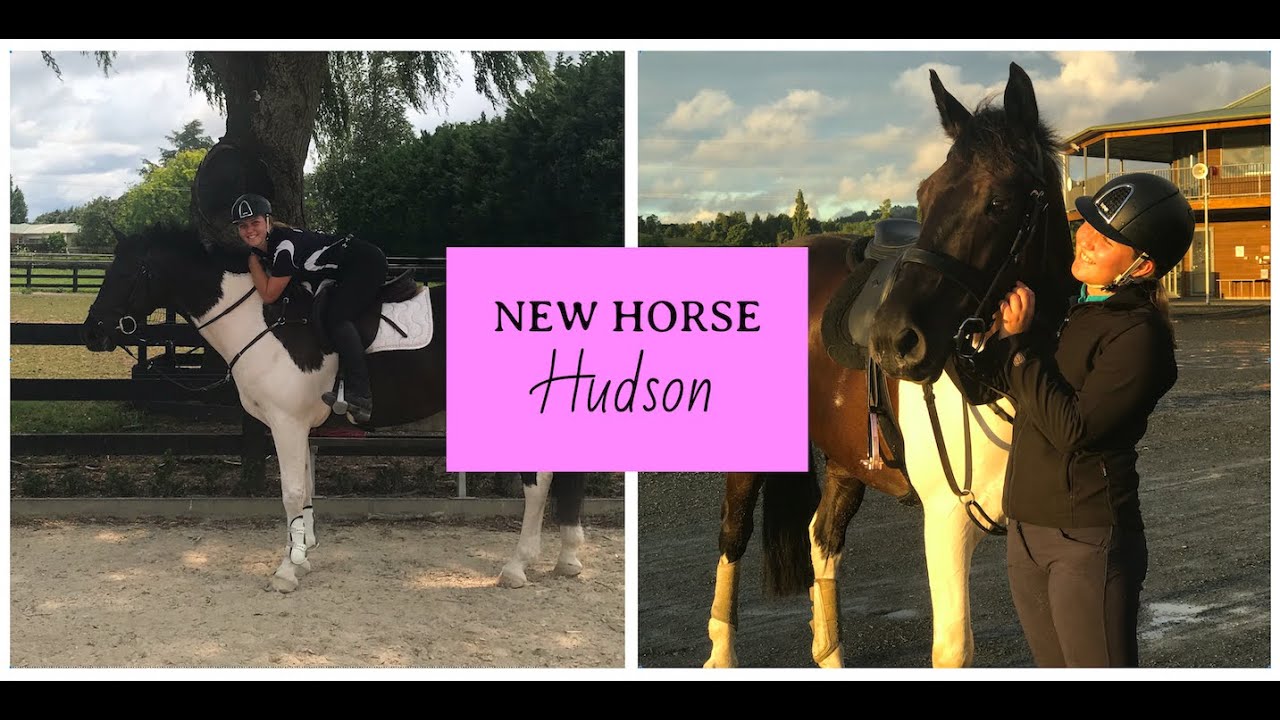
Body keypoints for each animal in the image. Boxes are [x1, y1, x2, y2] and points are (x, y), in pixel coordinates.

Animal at [81, 224, 591, 593]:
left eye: (127, 273)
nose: (93, 331)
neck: (262, 321)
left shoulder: (286, 425)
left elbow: (290, 494)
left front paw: (286, 572)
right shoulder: (299, 429)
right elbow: (305, 493)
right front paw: (301, 558)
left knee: (537, 482)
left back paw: (517, 566)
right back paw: (567, 558)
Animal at [704, 62, 1077, 668]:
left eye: (999, 202)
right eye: (924, 195)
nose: (891, 340)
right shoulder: (947, 521)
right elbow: (954, 648)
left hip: (847, 454)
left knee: (822, 538)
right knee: (733, 533)